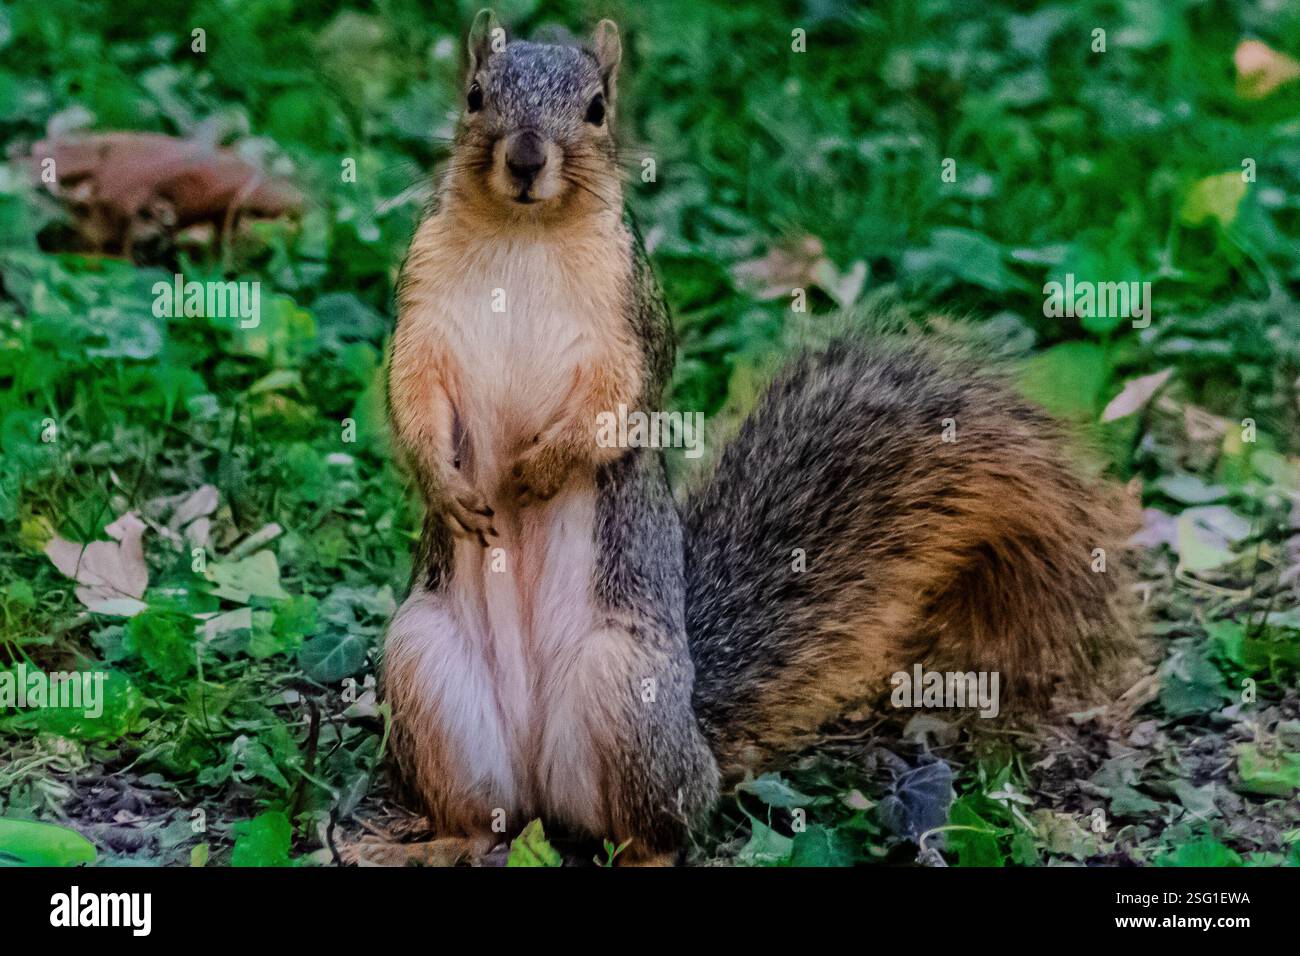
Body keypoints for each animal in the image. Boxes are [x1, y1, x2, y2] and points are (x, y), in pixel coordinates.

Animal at [382, 11, 1139, 864]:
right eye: (475, 95)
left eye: (597, 109)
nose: (525, 159)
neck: (524, 231)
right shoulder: (423, 311)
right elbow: (410, 394)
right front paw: (444, 485)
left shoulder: (633, 324)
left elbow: (619, 404)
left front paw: (541, 471)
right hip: (423, 669)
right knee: (483, 818)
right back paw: (432, 842)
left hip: (626, 693)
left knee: (657, 828)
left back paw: (641, 847)